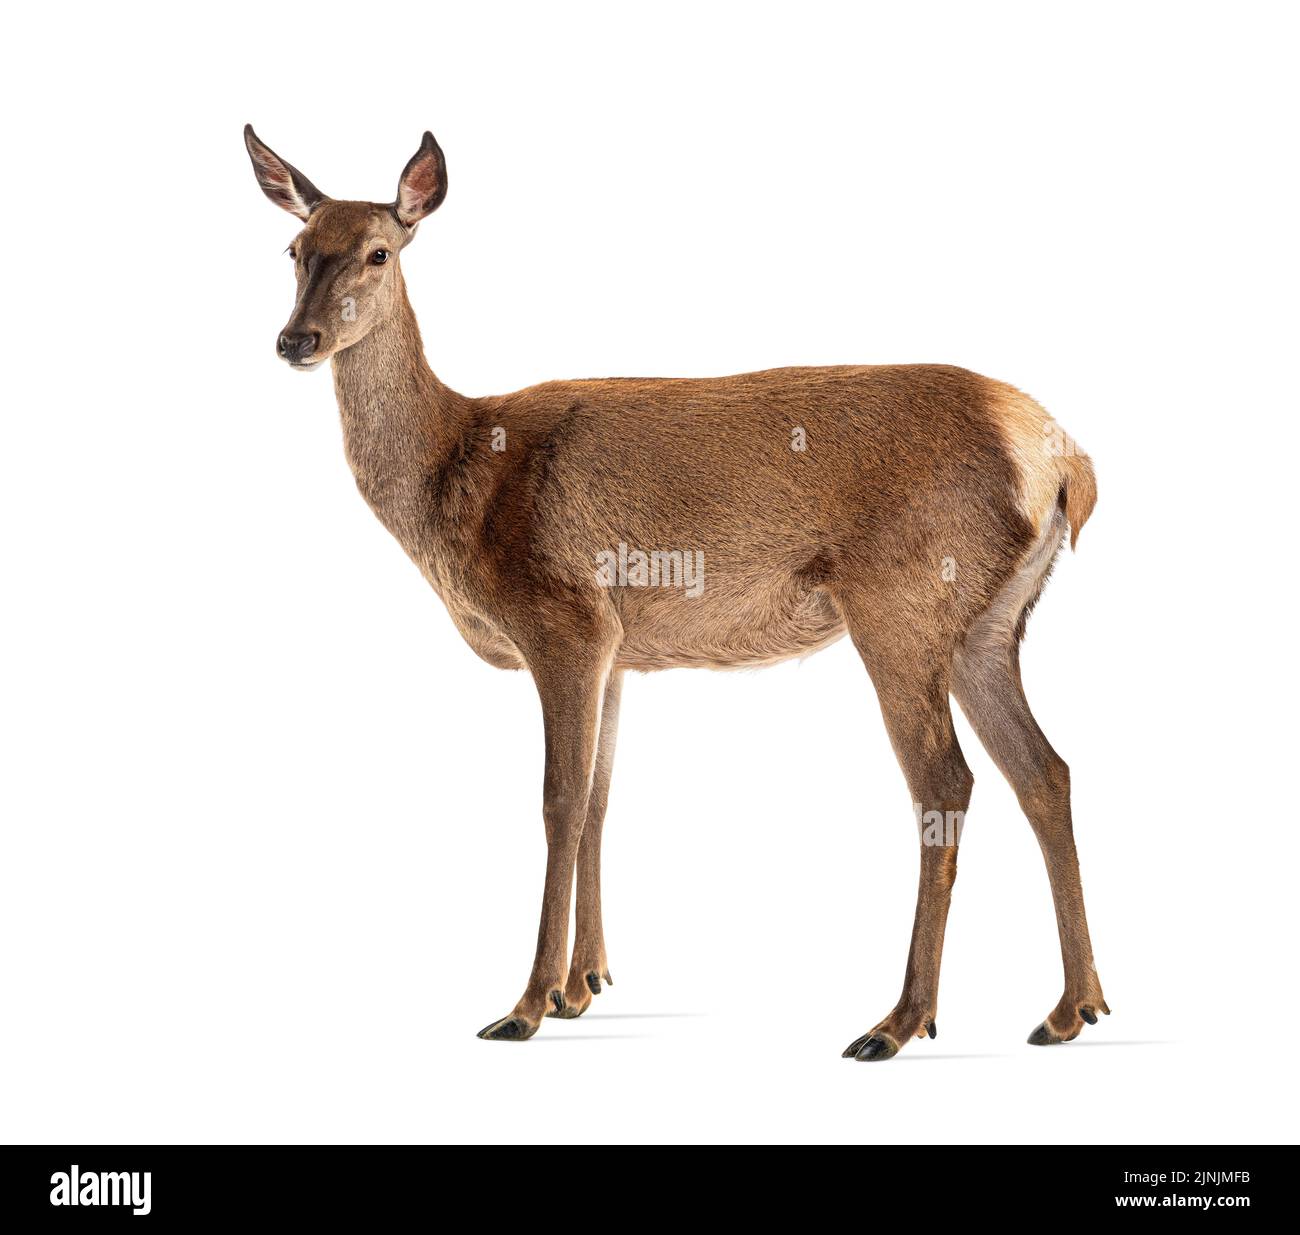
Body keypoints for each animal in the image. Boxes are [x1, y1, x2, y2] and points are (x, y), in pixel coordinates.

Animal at [244, 125, 1109, 1060]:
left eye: (379, 250)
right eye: (294, 248)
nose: (296, 339)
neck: (459, 476)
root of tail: (1064, 462)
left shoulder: (563, 617)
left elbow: (557, 800)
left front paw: (527, 1002)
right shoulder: (619, 650)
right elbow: (599, 799)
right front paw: (584, 984)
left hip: (903, 602)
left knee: (947, 782)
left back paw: (901, 1019)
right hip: (990, 623)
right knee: (1046, 771)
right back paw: (1072, 1006)